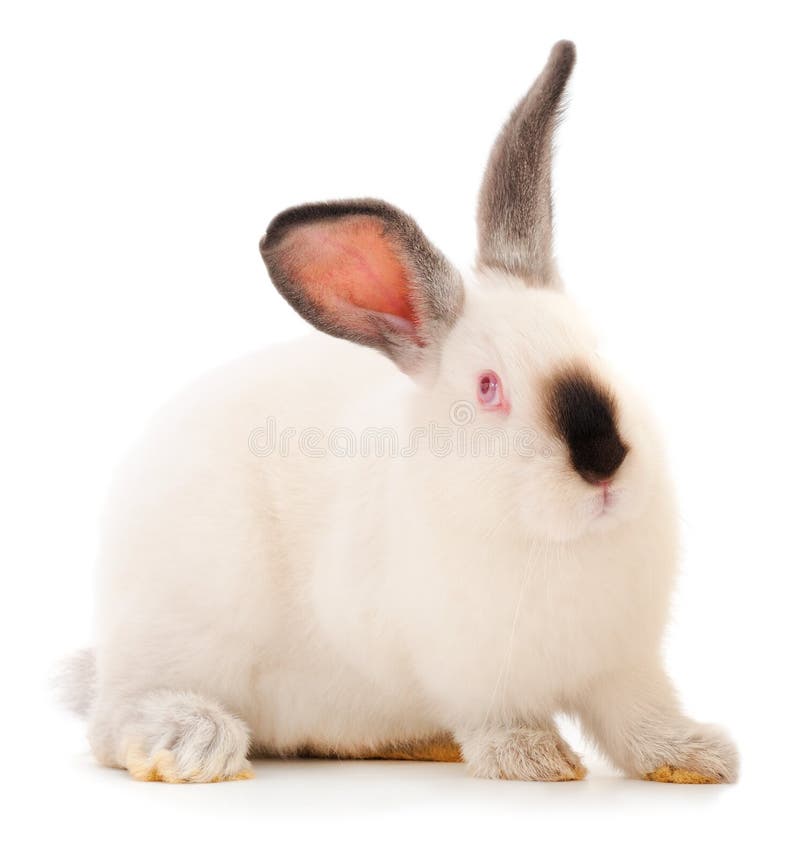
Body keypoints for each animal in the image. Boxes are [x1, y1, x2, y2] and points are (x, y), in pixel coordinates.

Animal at [60, 40, 738, 784]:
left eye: (595, 346)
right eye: (488, 387)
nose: (604, 458)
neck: (558, 542)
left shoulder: (625, 667)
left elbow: (640, 720)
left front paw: (697, 755)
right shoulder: (470, 670)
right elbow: (499, 716)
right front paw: (532, 757)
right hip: (186, 627)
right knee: (115, 720)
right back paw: (195, 741)